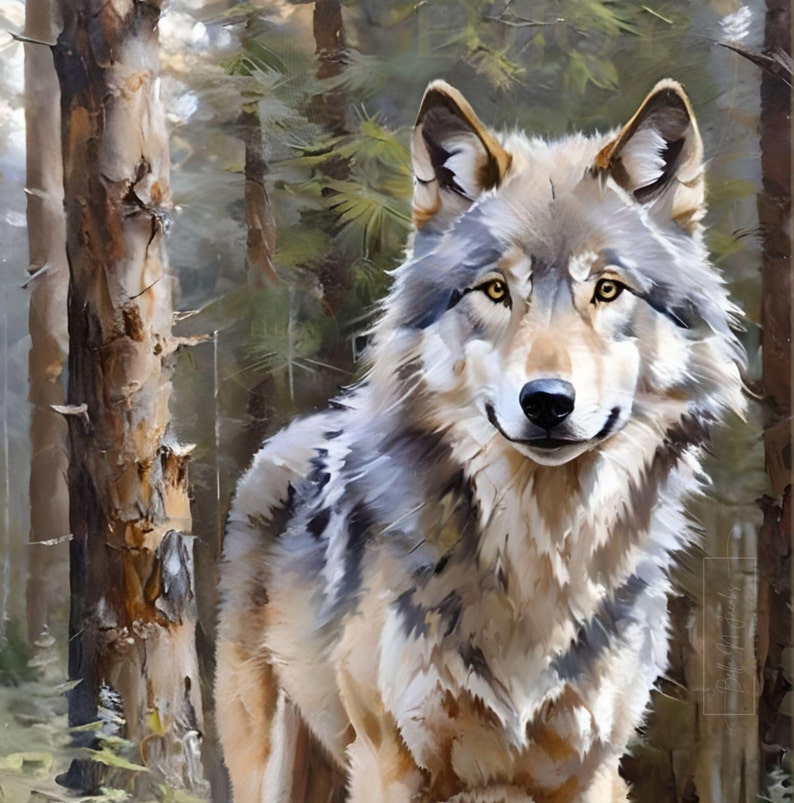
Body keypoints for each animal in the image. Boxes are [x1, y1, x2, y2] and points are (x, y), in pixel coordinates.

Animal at [215, 80, 745, 802]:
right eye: (496, 289)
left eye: (608, 289)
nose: (547, 401)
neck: (538, 554)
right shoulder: (388, 761)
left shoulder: (593, 769)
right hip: (271, 761)